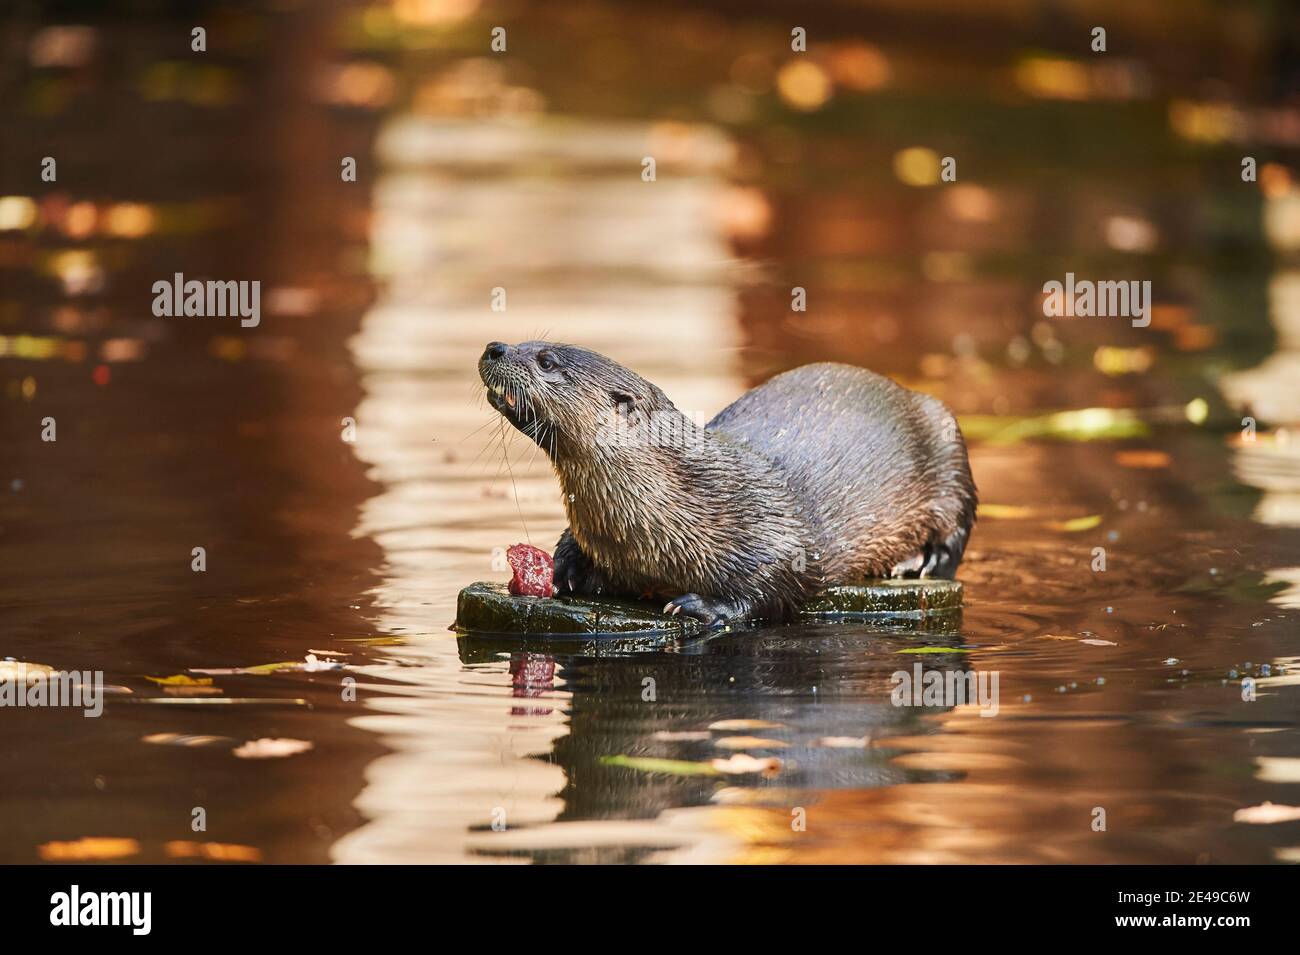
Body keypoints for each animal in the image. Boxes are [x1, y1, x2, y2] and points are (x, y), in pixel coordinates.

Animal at [479, 340, 977, 629]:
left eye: (546, 361)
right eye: (526, 342)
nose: (495, 347)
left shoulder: (776, 532)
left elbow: (776, 584)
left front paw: (702, 607)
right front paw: (561, 569)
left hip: (947, 441)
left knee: (956, 529)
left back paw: (918, 564)